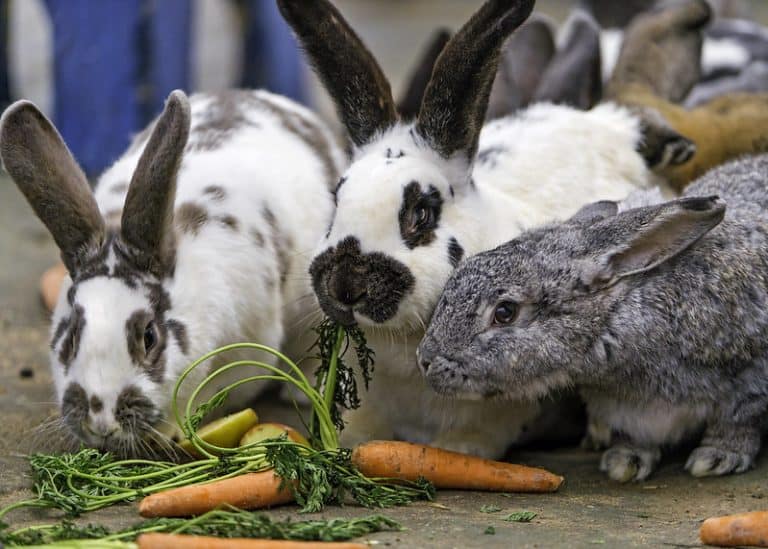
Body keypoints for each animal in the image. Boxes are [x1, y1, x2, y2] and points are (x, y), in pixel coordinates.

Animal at [419, 153, 768, 481]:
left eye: (504, 313)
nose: (425, 359)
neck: (616, 315)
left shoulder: (747, 381)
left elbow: (737, 422)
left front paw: (716, 458)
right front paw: (624, 462)